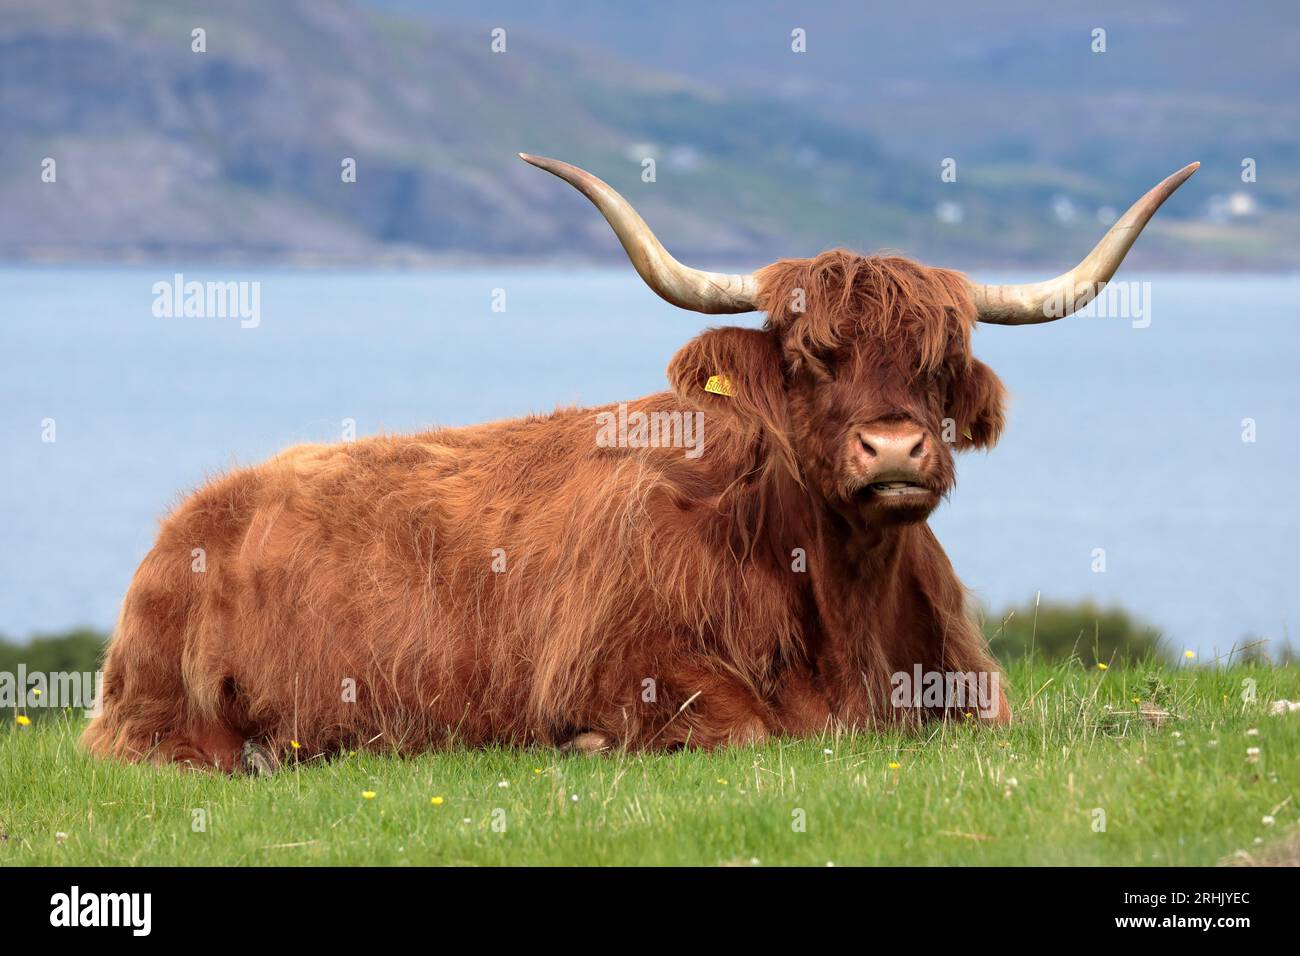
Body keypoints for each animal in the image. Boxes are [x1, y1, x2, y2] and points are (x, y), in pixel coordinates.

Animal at [82, 155, 1197, 771]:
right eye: (809, 357)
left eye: (939, 364)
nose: (892, 449)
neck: (845, 617)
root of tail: (195, 513)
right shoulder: (630, 662)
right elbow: (741, 728)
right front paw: (577, 744)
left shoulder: (971, 692)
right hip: (164, 715)